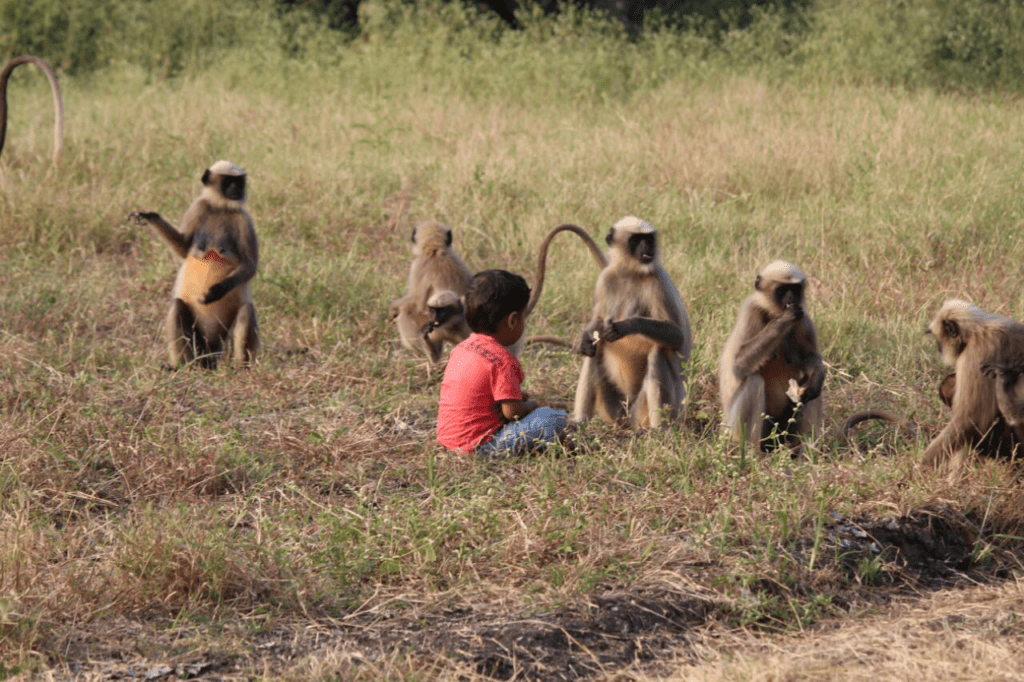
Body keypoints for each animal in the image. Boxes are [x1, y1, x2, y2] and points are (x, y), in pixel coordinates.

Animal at [129, 160, 259, 368]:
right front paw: (150, 216)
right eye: (228, 181)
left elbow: (250, 265)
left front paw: (215, 292)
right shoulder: (199, 207)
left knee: (246, 310)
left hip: (224, 342)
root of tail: (211, 352)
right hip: (198, 342)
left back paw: (240, 367)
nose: (237, 189)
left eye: (239, 181)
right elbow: (184, 248)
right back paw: (183, 367)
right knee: (176, 307)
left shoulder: (243, 219)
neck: (221, 207)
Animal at [572, 216, 691, 428]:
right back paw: (579, 422)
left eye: (649, 239)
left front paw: (625, 326)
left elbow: (678, 336)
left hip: (652, 411)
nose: (647, 248)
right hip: (613, 409)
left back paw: (658, 430)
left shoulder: (658, 281)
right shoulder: (605, 278)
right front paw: (586, 335)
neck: (631, 272)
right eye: (635, 240)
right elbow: (598, 322)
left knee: (658, 353)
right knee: (593, 351)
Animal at [718, 261, 825, 453]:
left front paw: (815, 380)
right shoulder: (751, 312)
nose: (791, 298)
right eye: (782, 290)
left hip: (784, 429)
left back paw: (805, 453)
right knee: (754, 382)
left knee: (811, 392)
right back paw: (753, 454)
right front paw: (783, 321)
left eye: (795, 289)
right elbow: (739, 366)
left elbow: (809, 359)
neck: (772, 313)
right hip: (735, 427)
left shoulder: (803, 318)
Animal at [921, 299, 1024, 467]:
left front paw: (920, 468)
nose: (939, 348)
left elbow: (970, 421)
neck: (975, 331)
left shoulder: (977, 353)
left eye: (939, 340)